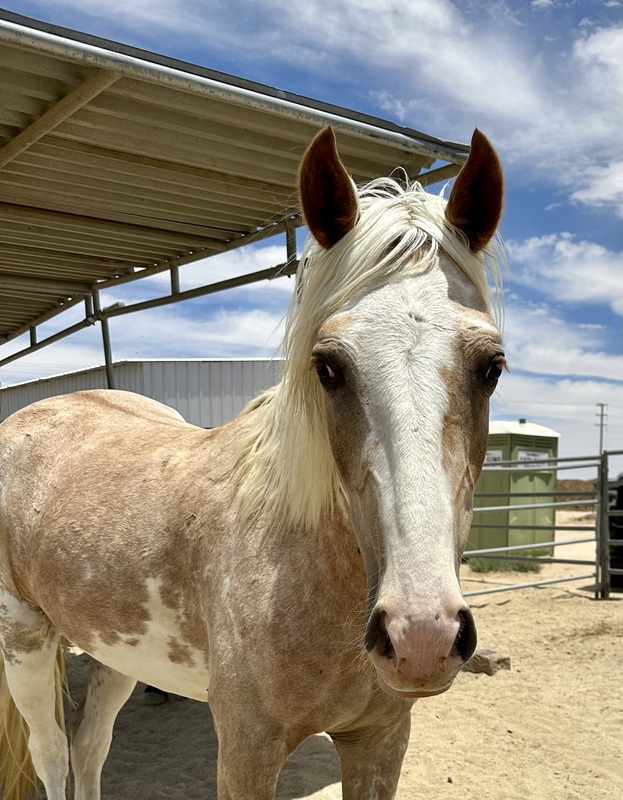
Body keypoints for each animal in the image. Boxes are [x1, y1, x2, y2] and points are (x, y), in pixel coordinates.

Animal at [0, 125, 505, 800]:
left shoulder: (380, 742)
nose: (421, 635)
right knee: (53, 754)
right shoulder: (246, 750)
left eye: (492, 366)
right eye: (327, 366)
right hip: (23, 642)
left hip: (114, 651)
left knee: (89, 747)